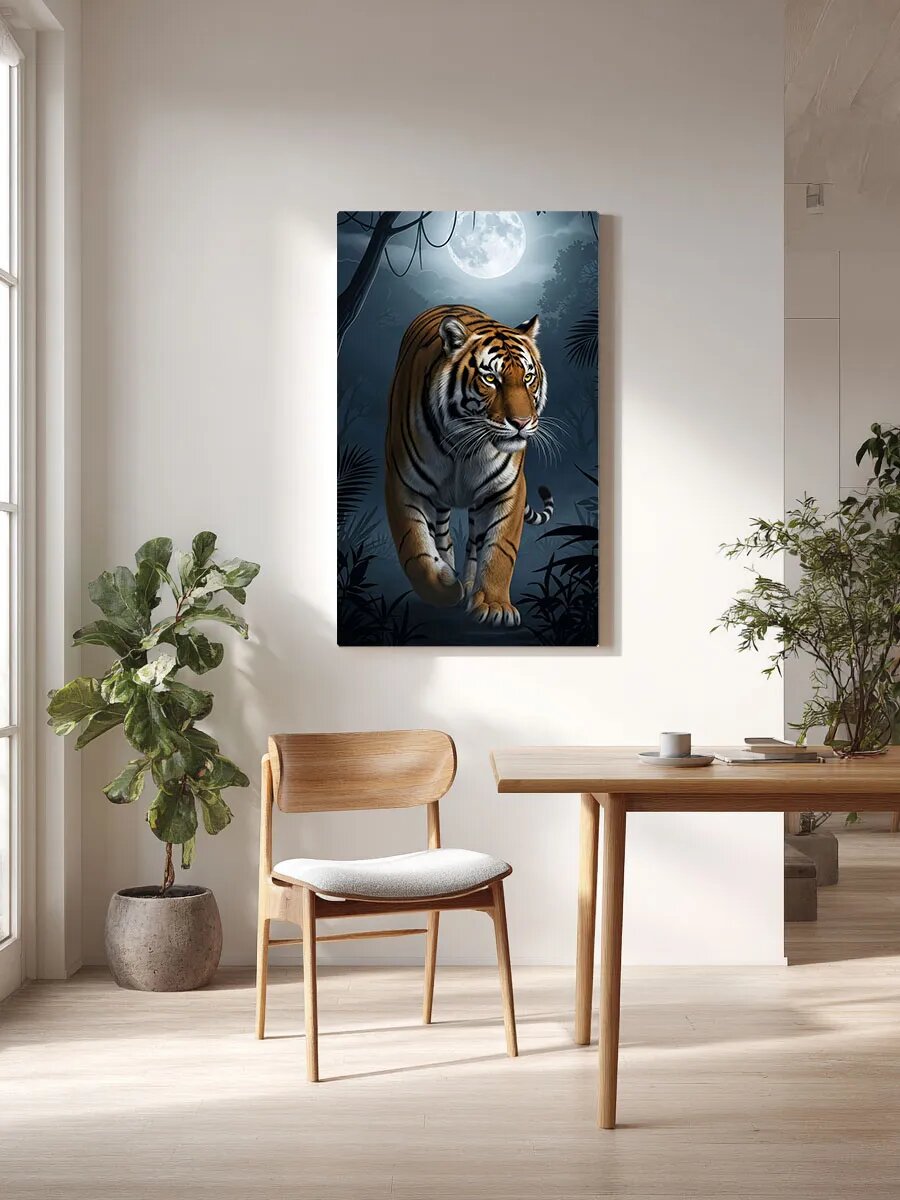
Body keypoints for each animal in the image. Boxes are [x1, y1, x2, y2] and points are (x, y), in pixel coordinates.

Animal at [385, 304, 554, 627]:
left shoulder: (508, 489)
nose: (522, 423)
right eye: (490, 378)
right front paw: (446, 586)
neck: (464, 446)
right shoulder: (403, 485)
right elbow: (415, 550)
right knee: (441, 536)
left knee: (475, 544)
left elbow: (500, 550)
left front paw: (495, 606)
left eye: (528, 377)